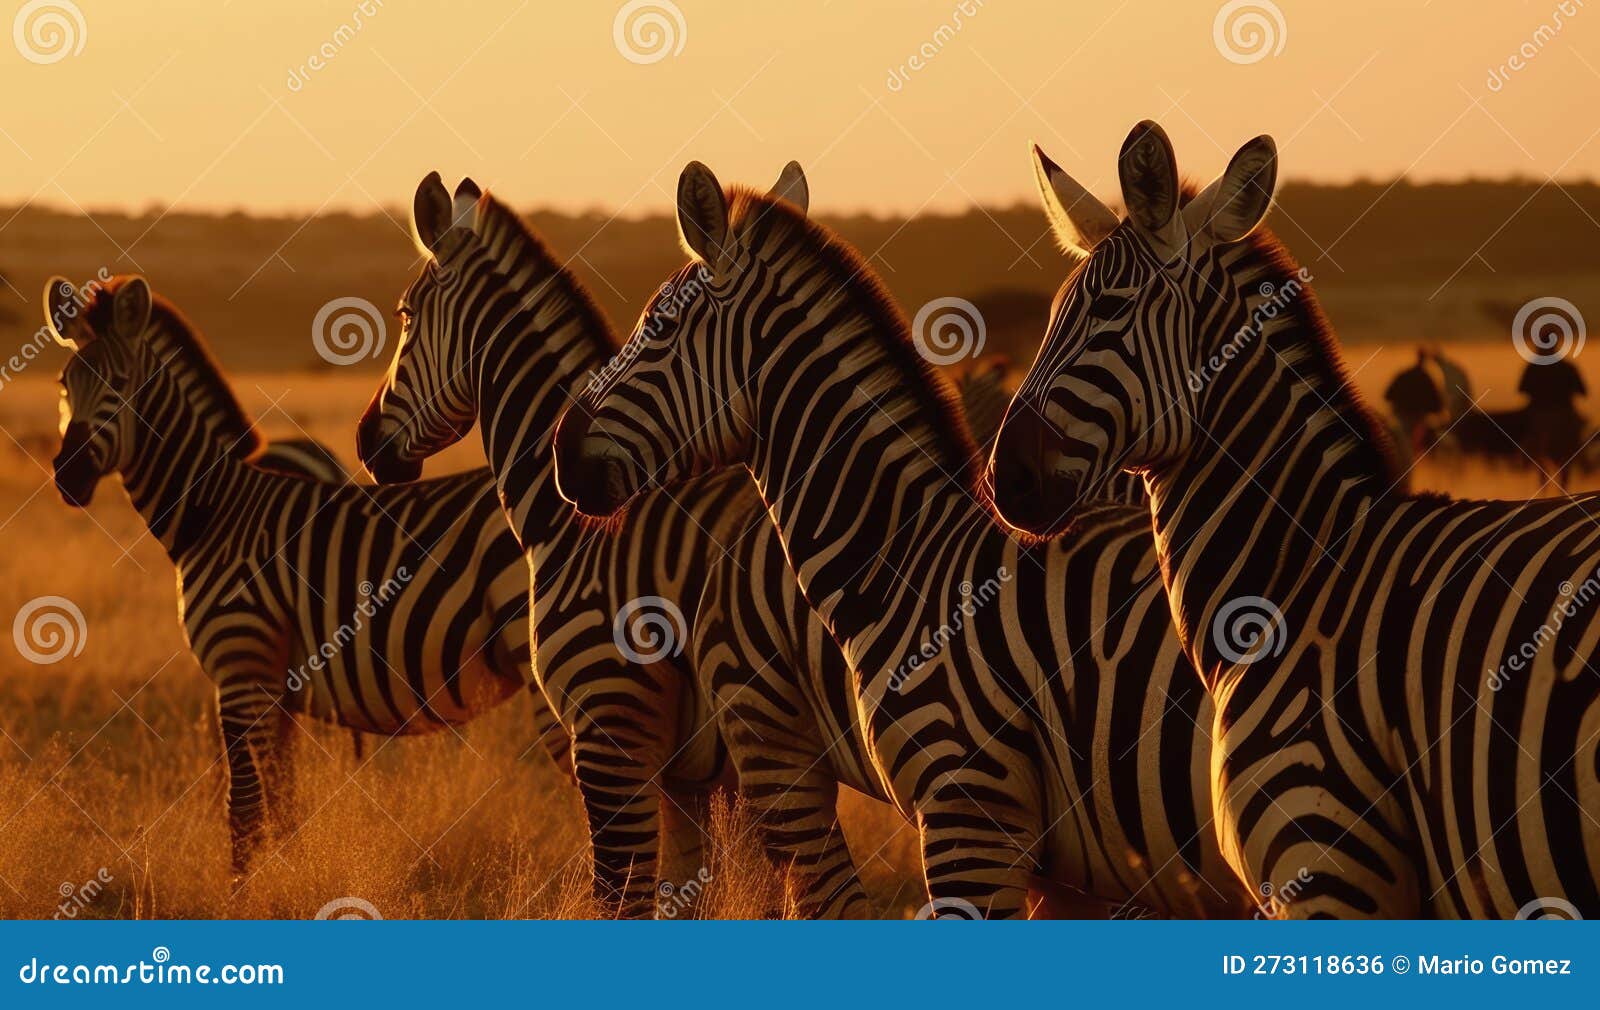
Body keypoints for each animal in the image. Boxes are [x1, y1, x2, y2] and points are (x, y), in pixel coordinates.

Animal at [46, 275, 568, 875]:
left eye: (121, 384)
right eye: (64, 384)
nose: (68, 476)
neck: (217, 510)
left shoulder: (240, 669)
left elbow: (244, 811)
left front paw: (246, 892)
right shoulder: (278, 690)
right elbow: (283, 805)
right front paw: (293, 880)